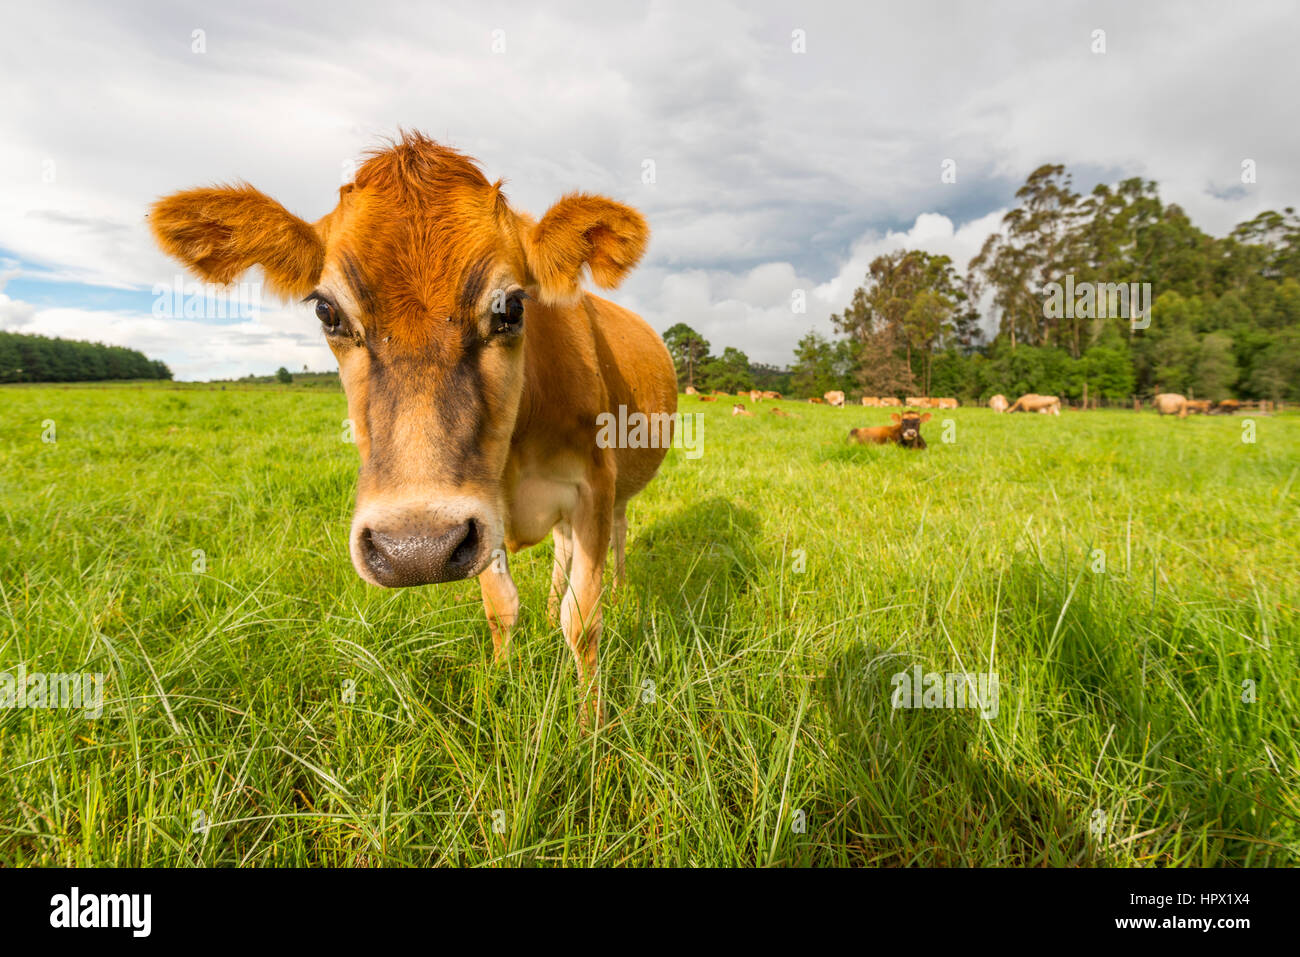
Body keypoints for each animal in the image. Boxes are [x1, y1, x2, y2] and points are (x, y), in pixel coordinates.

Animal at [148, 132, 676, 725]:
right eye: (326, 311)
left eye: (513, 306)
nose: (415, 550)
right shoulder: (482, 509)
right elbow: (501, 607)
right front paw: (501, 684)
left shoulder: (590, 486)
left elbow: (582, 621)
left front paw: (591, 727)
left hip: (618, 491)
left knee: (619, 536)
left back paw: (622, 591)